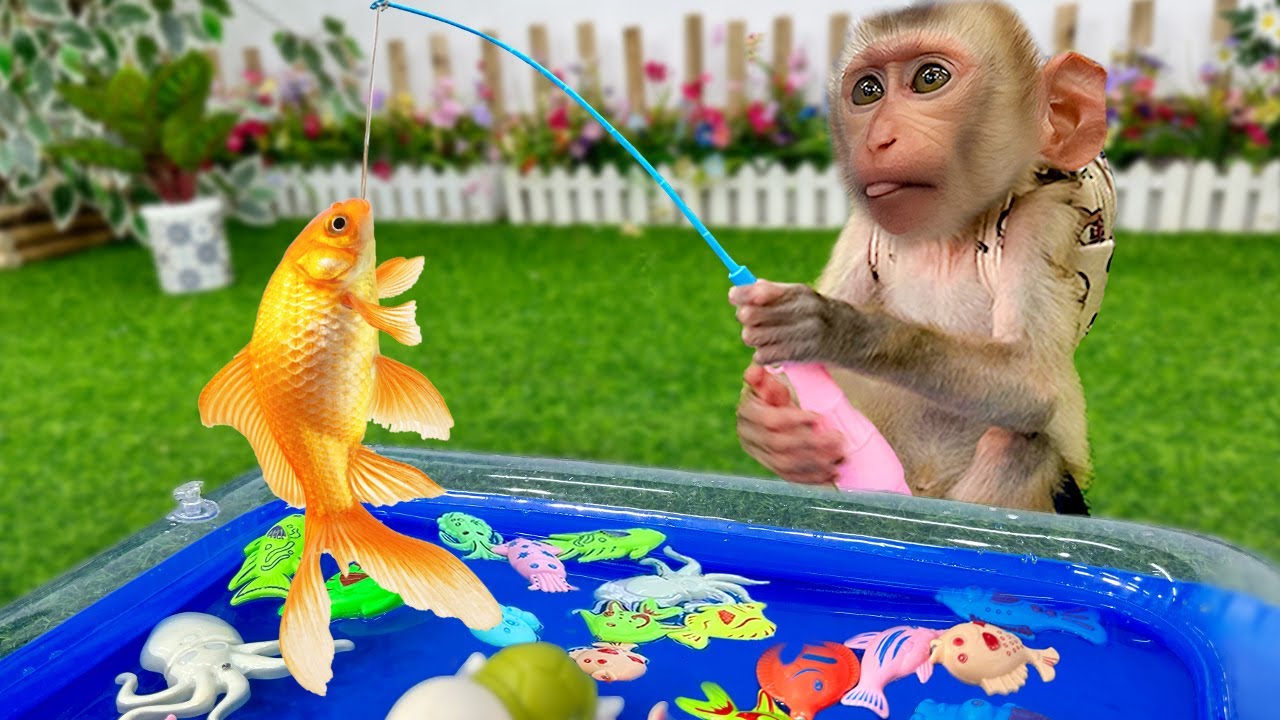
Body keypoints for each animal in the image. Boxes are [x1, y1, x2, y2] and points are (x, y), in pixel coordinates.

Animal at [730, 0, 1117, 514]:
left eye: (930, 79)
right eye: (868, 91)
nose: (878, 139)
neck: (944, 240)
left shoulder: (1043, 219)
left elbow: (1035, 380)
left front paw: (831, 326)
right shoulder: (866, 225)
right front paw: (777, 430)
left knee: (1020, 447)